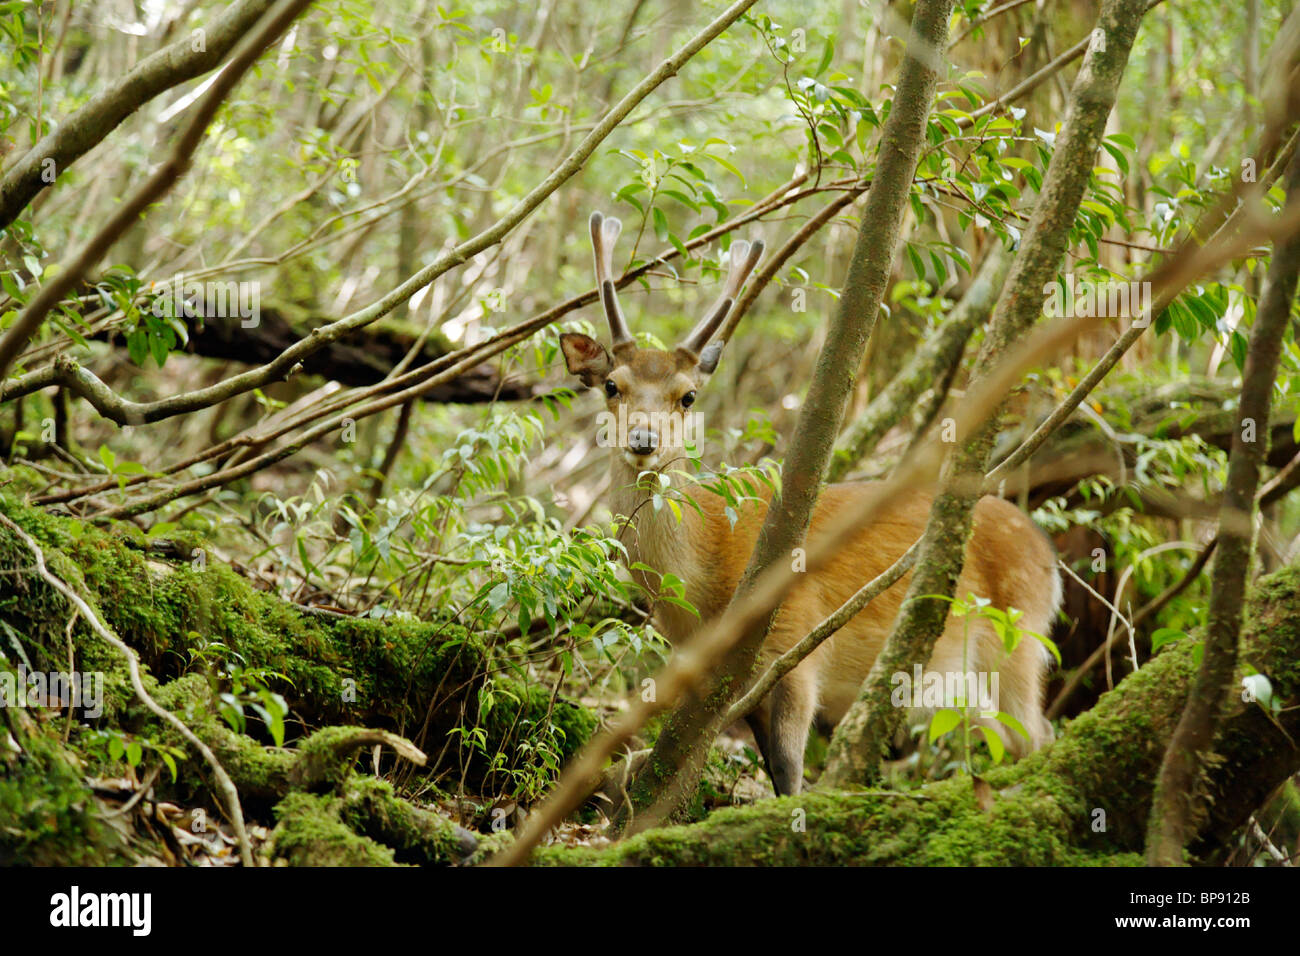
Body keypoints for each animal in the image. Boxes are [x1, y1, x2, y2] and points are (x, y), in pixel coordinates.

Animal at [560, 211, 1061, 796]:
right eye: (612, 386)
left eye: (687, 396)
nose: (643, 440)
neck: (706, 582)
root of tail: (1047, 554)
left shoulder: (797, 642)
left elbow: (788, 769)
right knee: (1006, 734)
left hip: (1018, 638)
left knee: (1037, 733)